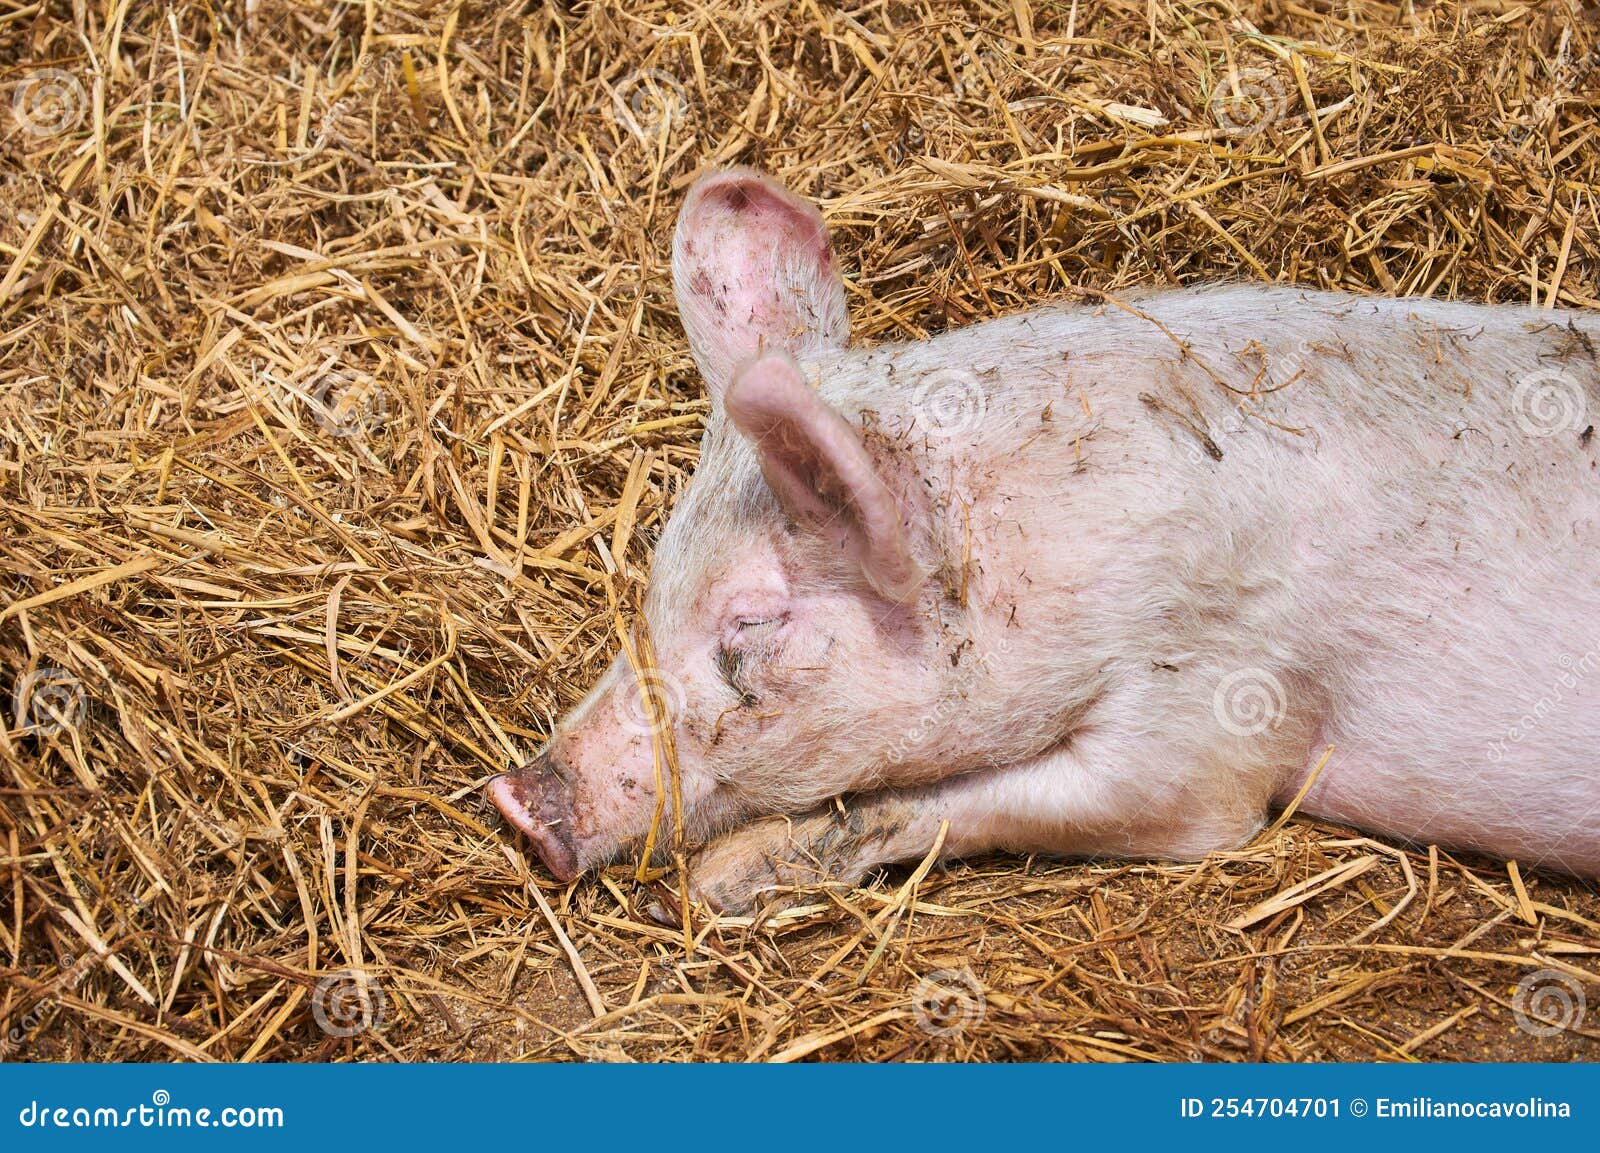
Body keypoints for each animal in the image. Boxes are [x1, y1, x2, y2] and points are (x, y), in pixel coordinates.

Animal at [489, 167, 1600, 914]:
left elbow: (1041, 800)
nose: (519, 800)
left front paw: (717, 884)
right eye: (657, 576)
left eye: (753, 619)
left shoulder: (1212, 705)